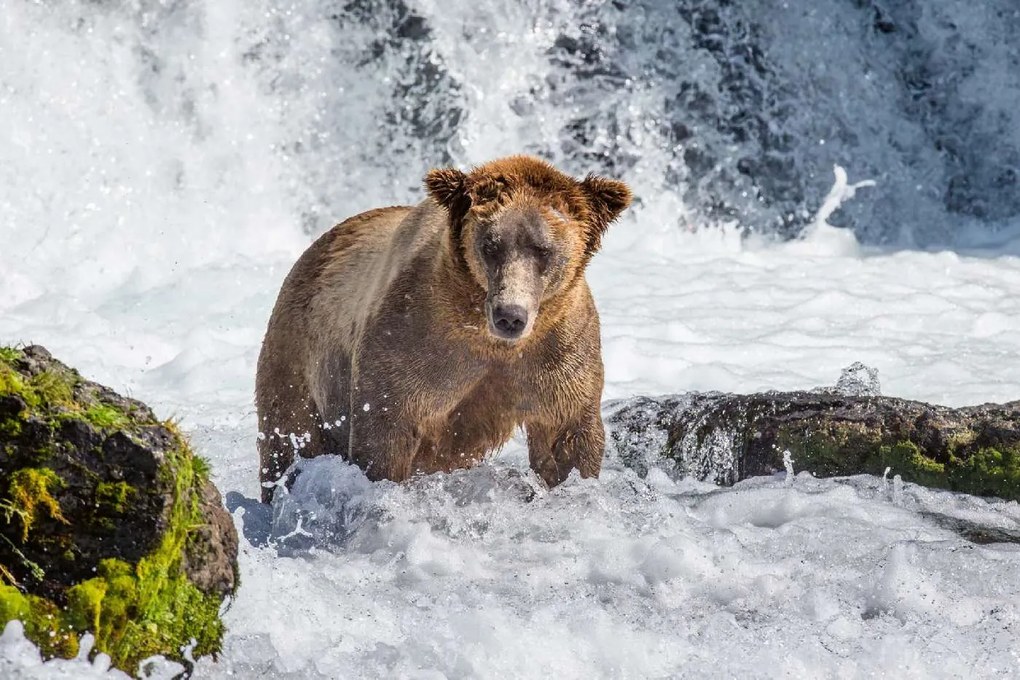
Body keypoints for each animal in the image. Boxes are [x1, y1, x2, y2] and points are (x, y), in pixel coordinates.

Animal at [252, 157, 628, 503]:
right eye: (490, 246)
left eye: (543, 250)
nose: (510, 316)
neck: (486, 336)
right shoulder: (415, 340)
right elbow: (384, 430)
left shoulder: (558, 351)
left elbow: (567, 437)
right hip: (297, 359)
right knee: (288, 436)